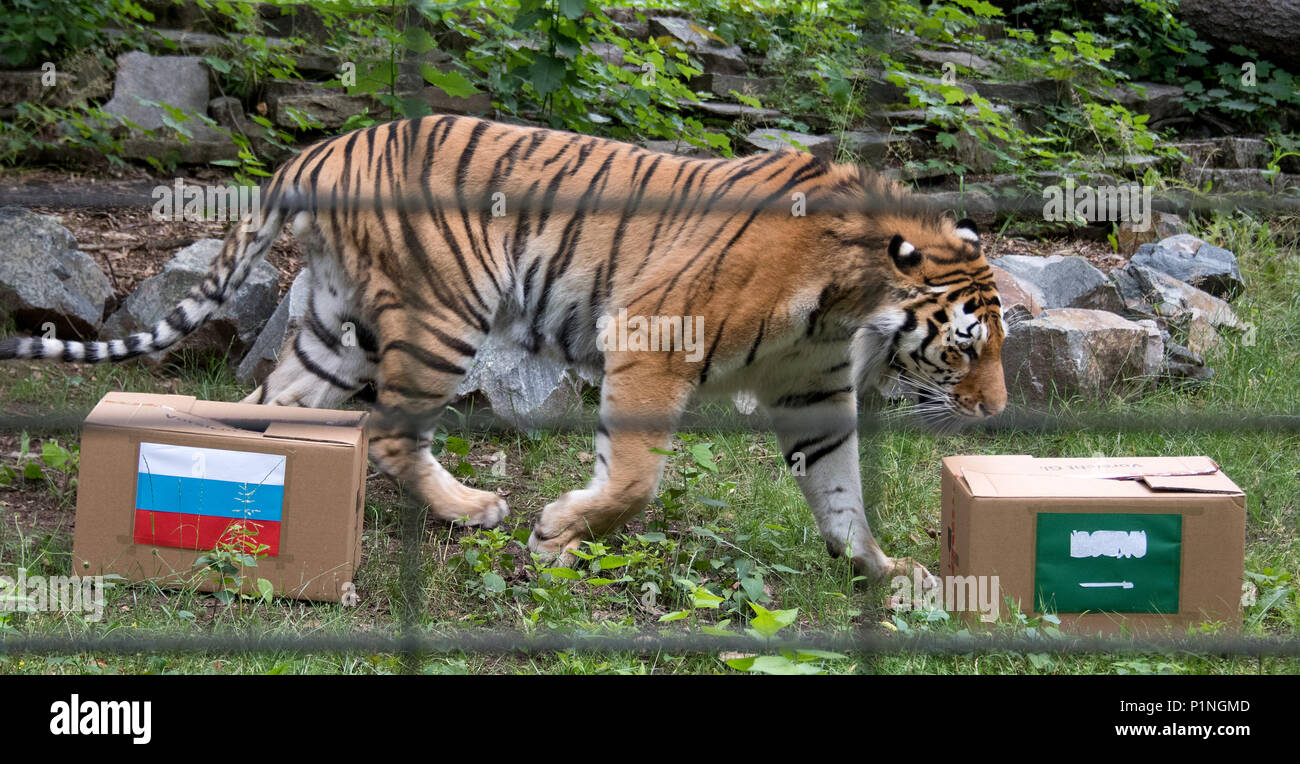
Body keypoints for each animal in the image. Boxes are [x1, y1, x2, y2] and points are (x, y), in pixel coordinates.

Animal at [0, 114, 1006, 586]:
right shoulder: (652, 335)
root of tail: (319, 151)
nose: (997, 415)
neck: (849, 304)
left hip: (336, 328)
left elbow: (842, 493)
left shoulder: (815, 395)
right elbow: (635, 475)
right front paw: (559, 532)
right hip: (444, 316)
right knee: (394, 432)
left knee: (273, 406)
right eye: (962, 351)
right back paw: (469, 508)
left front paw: (883, 571)